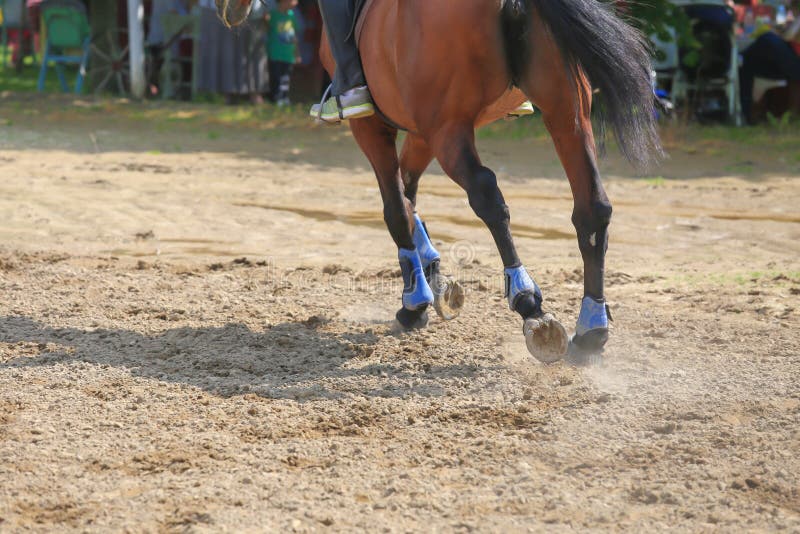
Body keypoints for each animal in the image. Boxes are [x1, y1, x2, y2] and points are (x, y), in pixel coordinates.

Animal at [216, 0, 661, 363]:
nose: (230, 11)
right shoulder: (421, 129)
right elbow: (409, 194)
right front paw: (431, 271)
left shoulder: (375, 126)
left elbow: (396, 208)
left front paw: (415, 301)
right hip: (566, 112)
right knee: (592, 208)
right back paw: (592, 325)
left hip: (450, 130)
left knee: (487, 195)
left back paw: (528, 304)